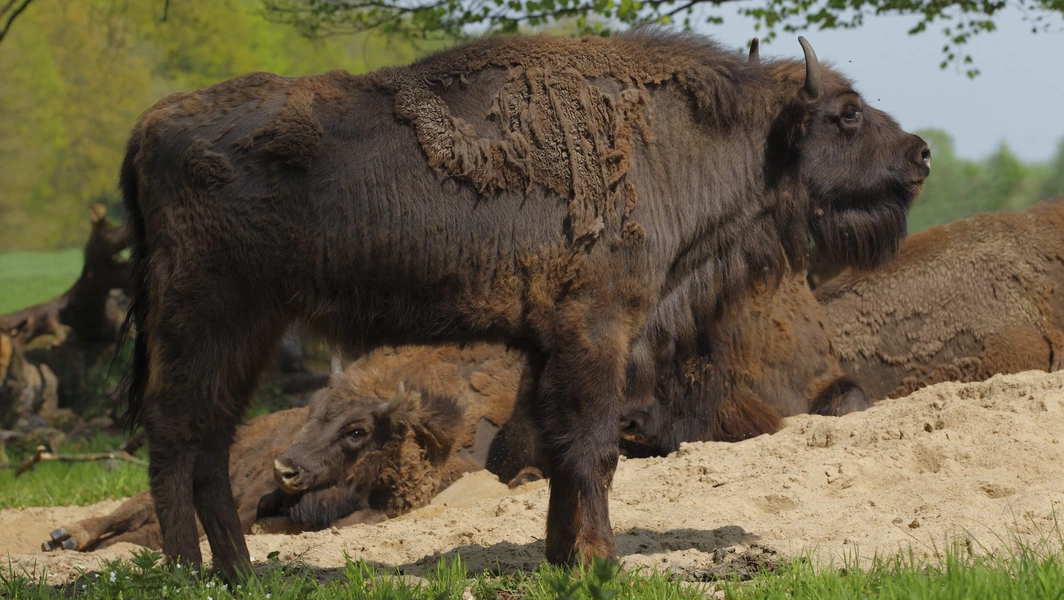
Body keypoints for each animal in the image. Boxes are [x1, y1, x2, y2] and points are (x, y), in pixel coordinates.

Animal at [118, 30, 929, 577]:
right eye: (848, 115)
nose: (921, 154)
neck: (677, 142)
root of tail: (151, 124)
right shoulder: (597, 329)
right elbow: (593, 446)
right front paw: (602, 561)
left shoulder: (550, 346)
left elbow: (555, 445)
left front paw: (561, 556)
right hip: (206, 319)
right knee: (176, 434)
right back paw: (190, 573)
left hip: (248, 331)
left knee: (208, 440)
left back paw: (238, 573)